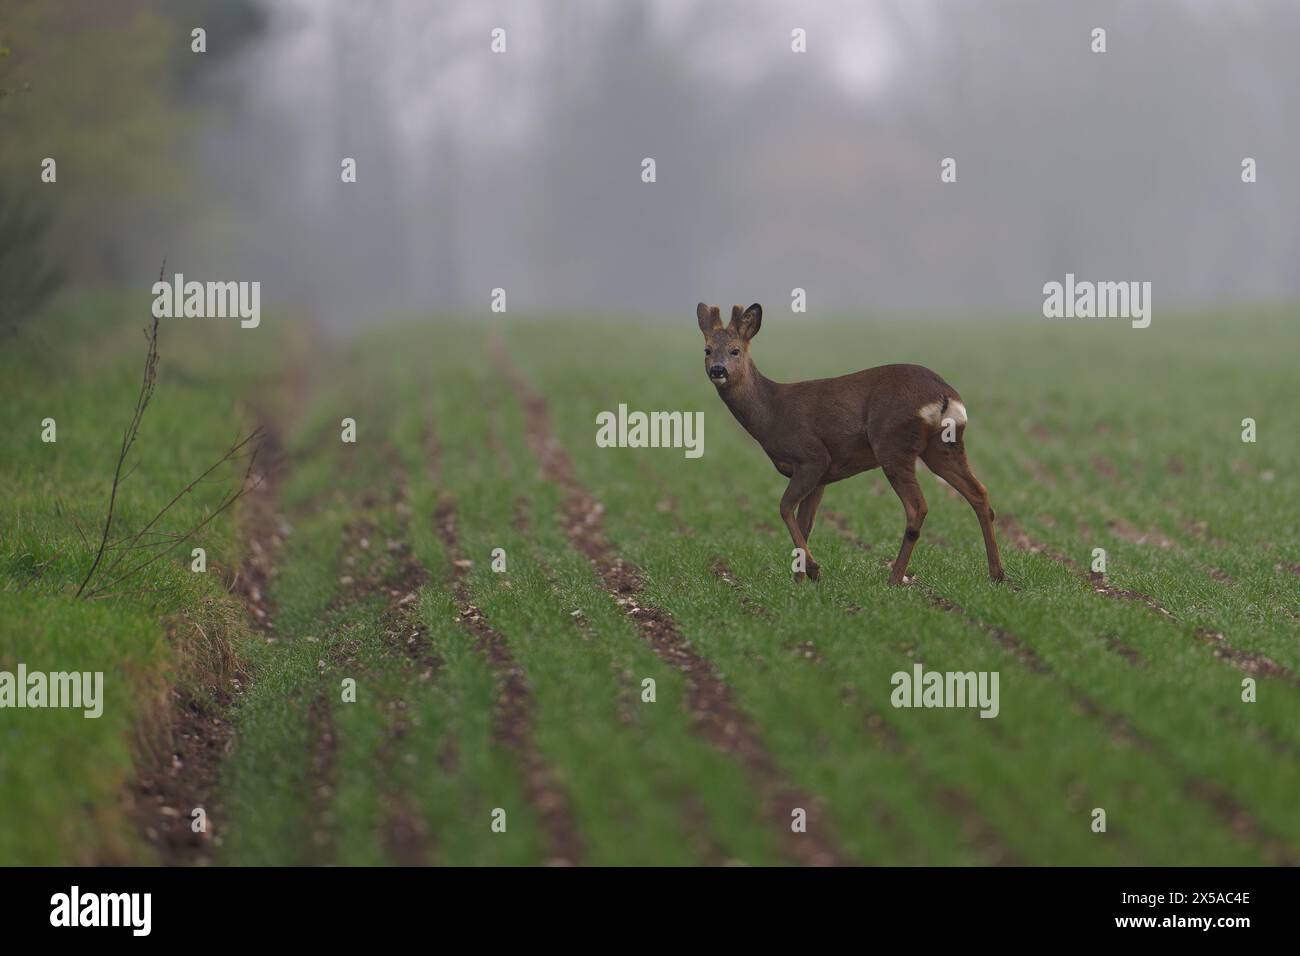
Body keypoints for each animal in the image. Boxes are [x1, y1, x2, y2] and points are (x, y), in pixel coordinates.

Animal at [697, 302, 1004, 586]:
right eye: (707, 350)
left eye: (735, 350)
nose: (718, 370)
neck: (771, 412)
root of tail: (945, 395)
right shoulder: (822, 477)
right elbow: (805, 523)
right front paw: (800, 581)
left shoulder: (811, 456)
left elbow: (784, 508)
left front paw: (813, 570)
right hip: (943, 447)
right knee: (979, 493)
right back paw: (997, 575)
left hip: (893, 444)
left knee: (918, 507)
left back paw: (894, 579)